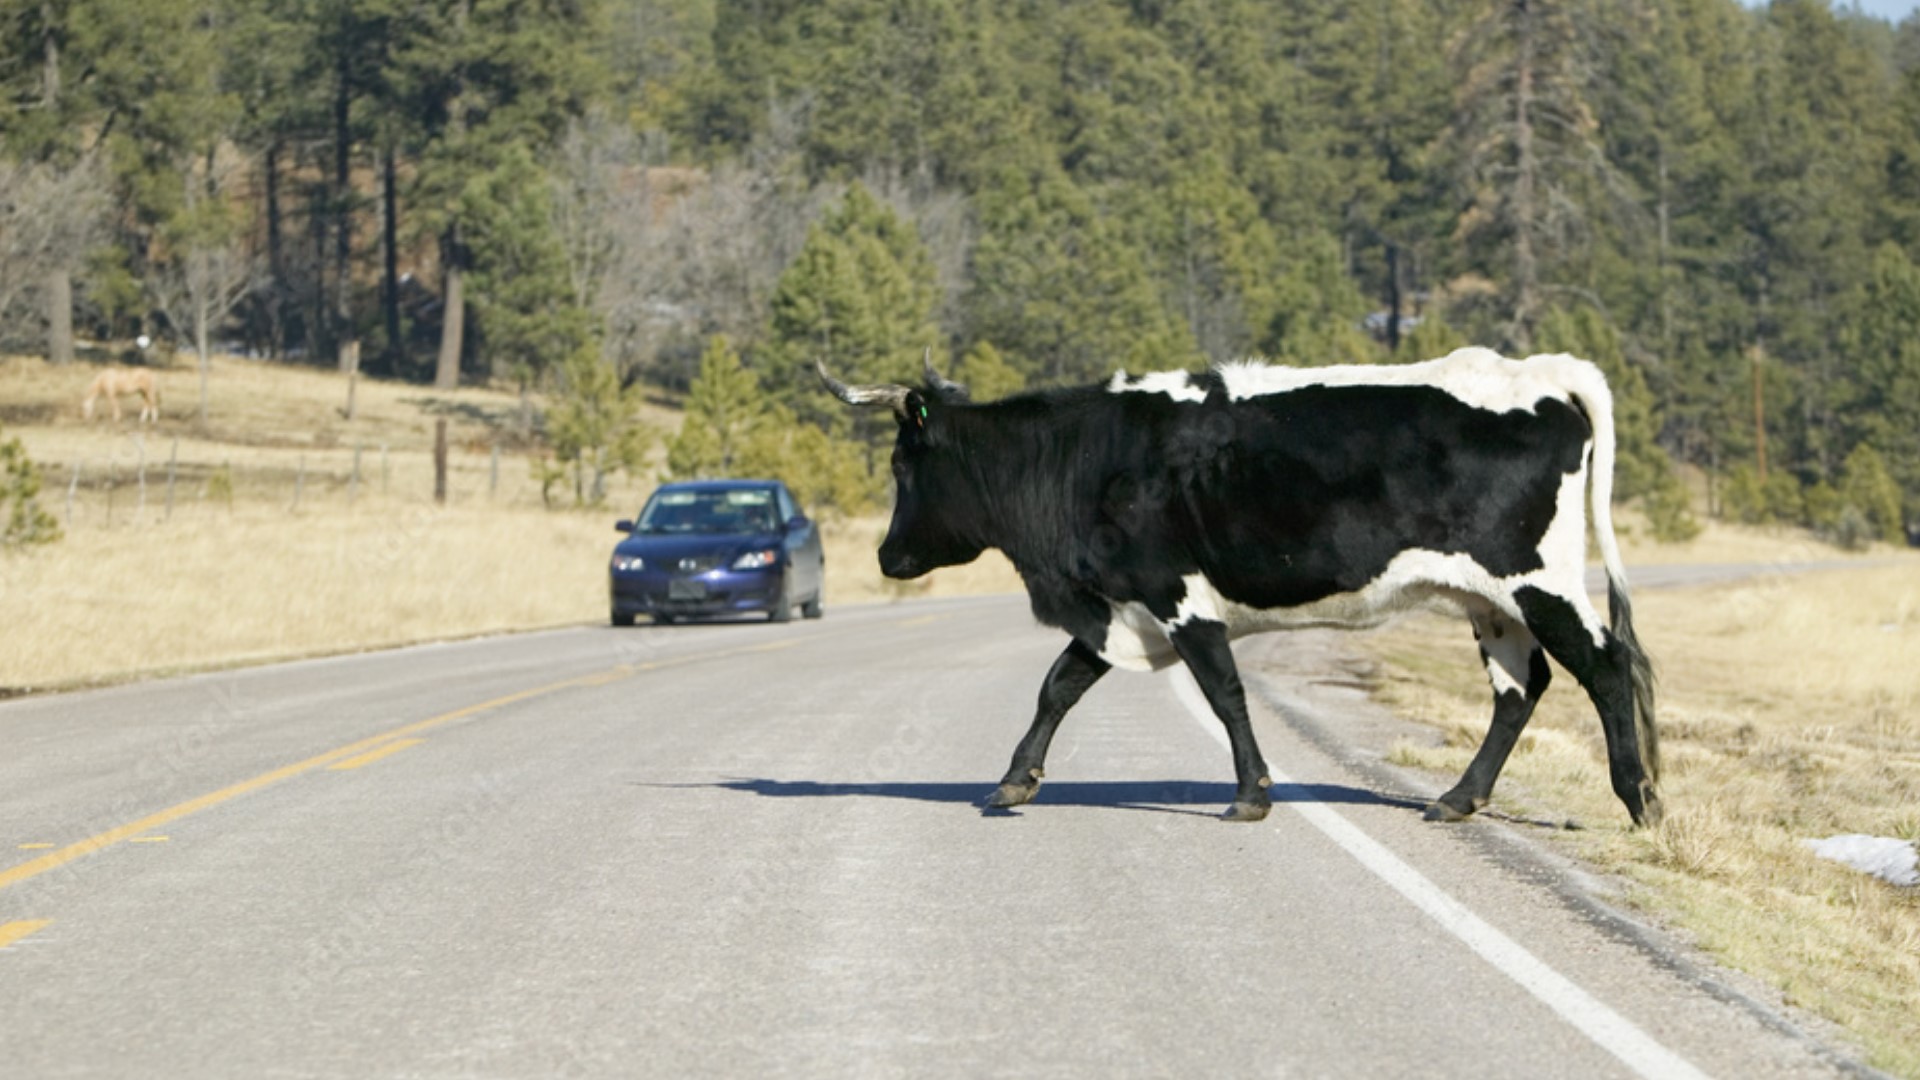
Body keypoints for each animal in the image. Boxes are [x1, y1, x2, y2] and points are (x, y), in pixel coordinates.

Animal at [819, 346, 1663, 827]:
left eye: (902, 466)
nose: (888, 557)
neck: (1083, 458)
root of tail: (1539, 371)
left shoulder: (1177, 596)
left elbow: (1223, 691)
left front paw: (1252, 792)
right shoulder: (1123, 605)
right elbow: (1059, 684)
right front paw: (1013, 781)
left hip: (1537, 580)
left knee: (1605, 665)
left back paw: (1642, 800)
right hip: (1492, 600)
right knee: (1522, 688)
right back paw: (1459, 798)